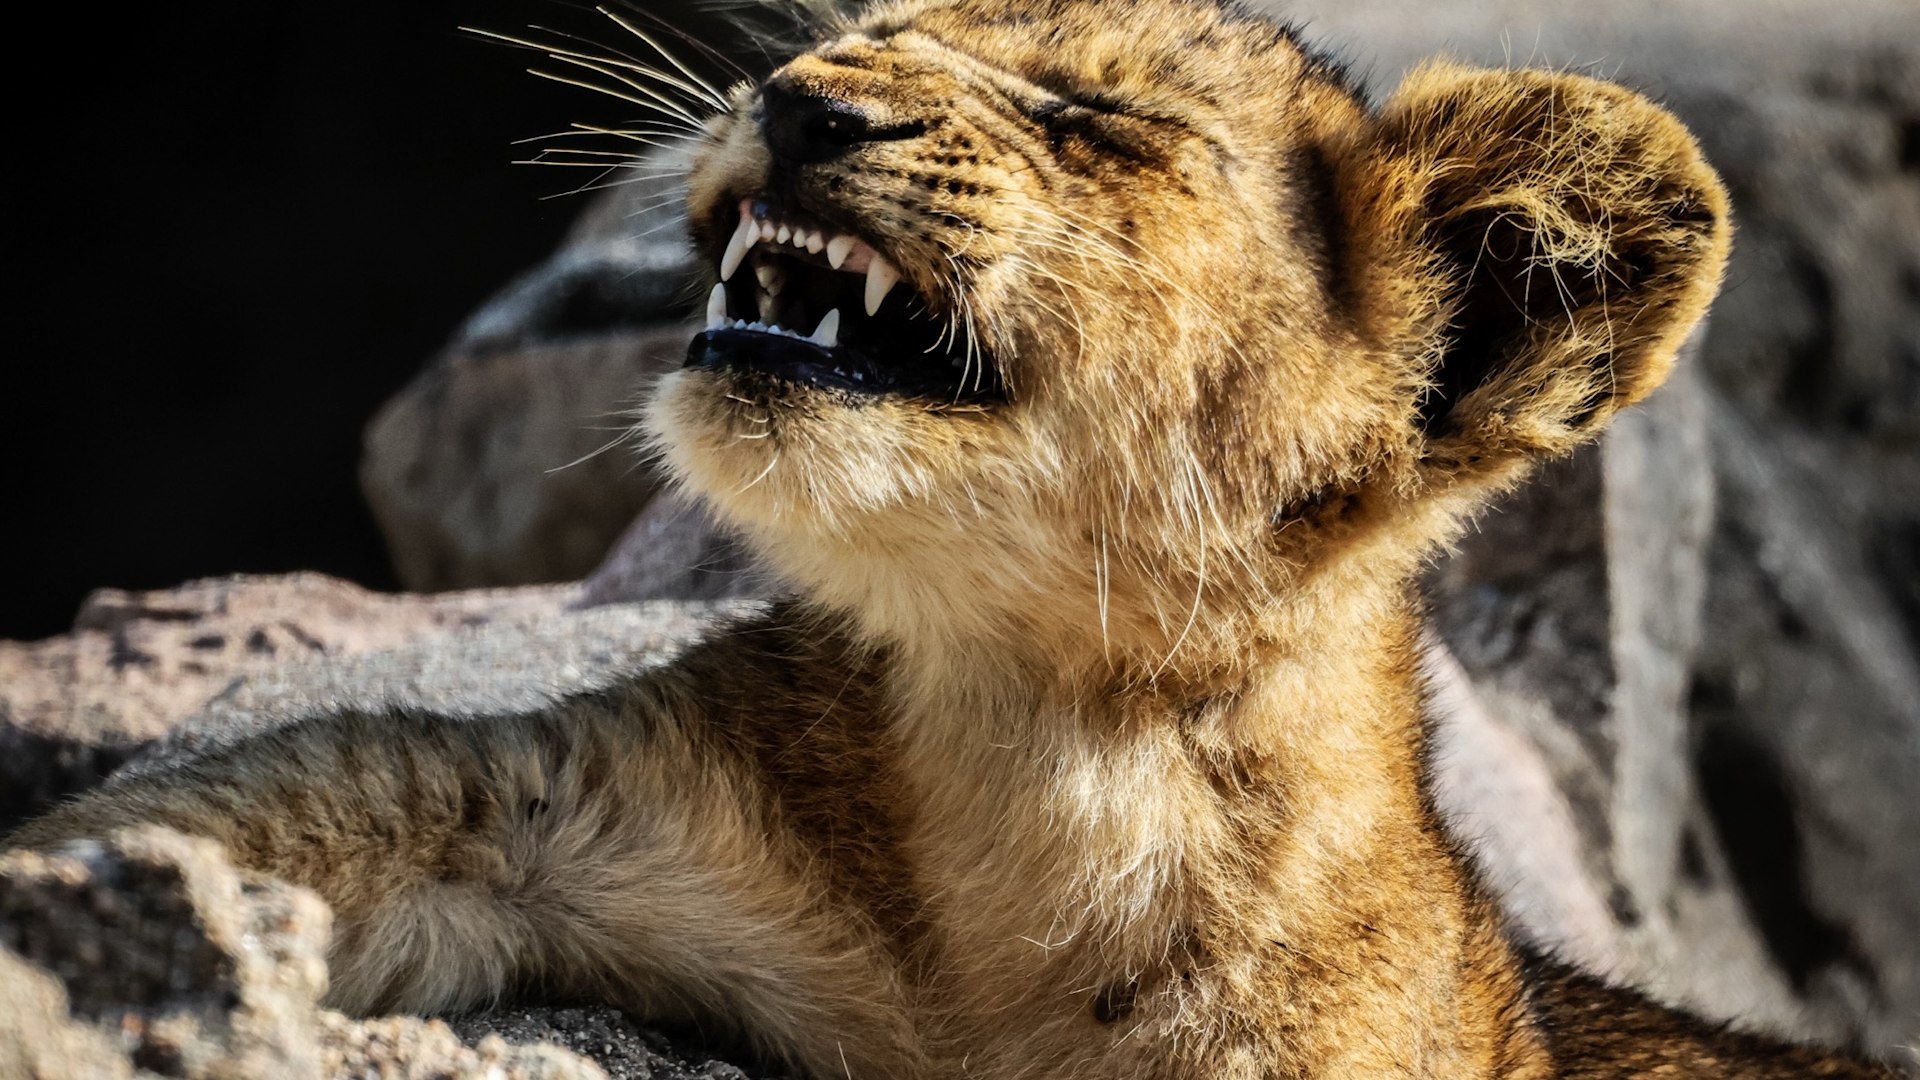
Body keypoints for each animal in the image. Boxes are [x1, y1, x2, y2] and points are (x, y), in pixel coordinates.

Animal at [7, 0, 1897, 1076]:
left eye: (1098, 121)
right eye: (860, 29)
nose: (796, 99)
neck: (1050, 752)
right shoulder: (554, 806)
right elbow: (236, 819)